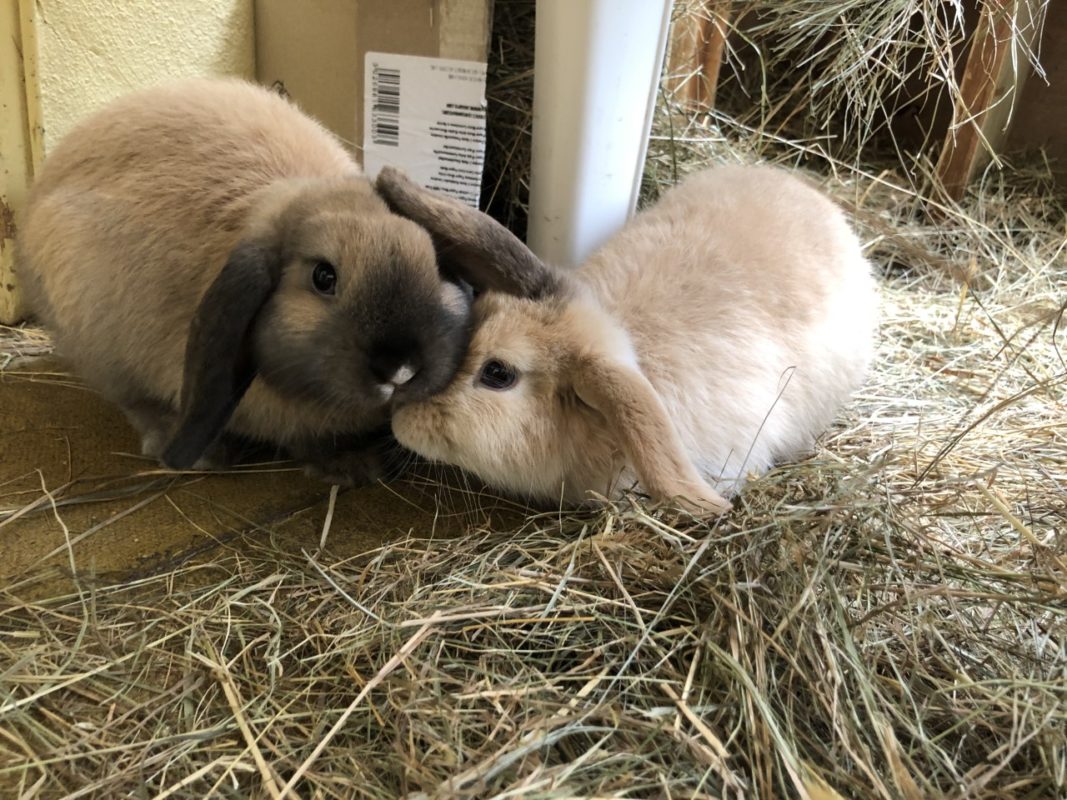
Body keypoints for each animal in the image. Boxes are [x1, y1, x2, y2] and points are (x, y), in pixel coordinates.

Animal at [17, 77, 473, 484]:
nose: (400, 368)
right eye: (323, 277)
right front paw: (347, 468)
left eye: (434, 260)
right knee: (131, 400)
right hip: (100, 345)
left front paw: (355, 465)